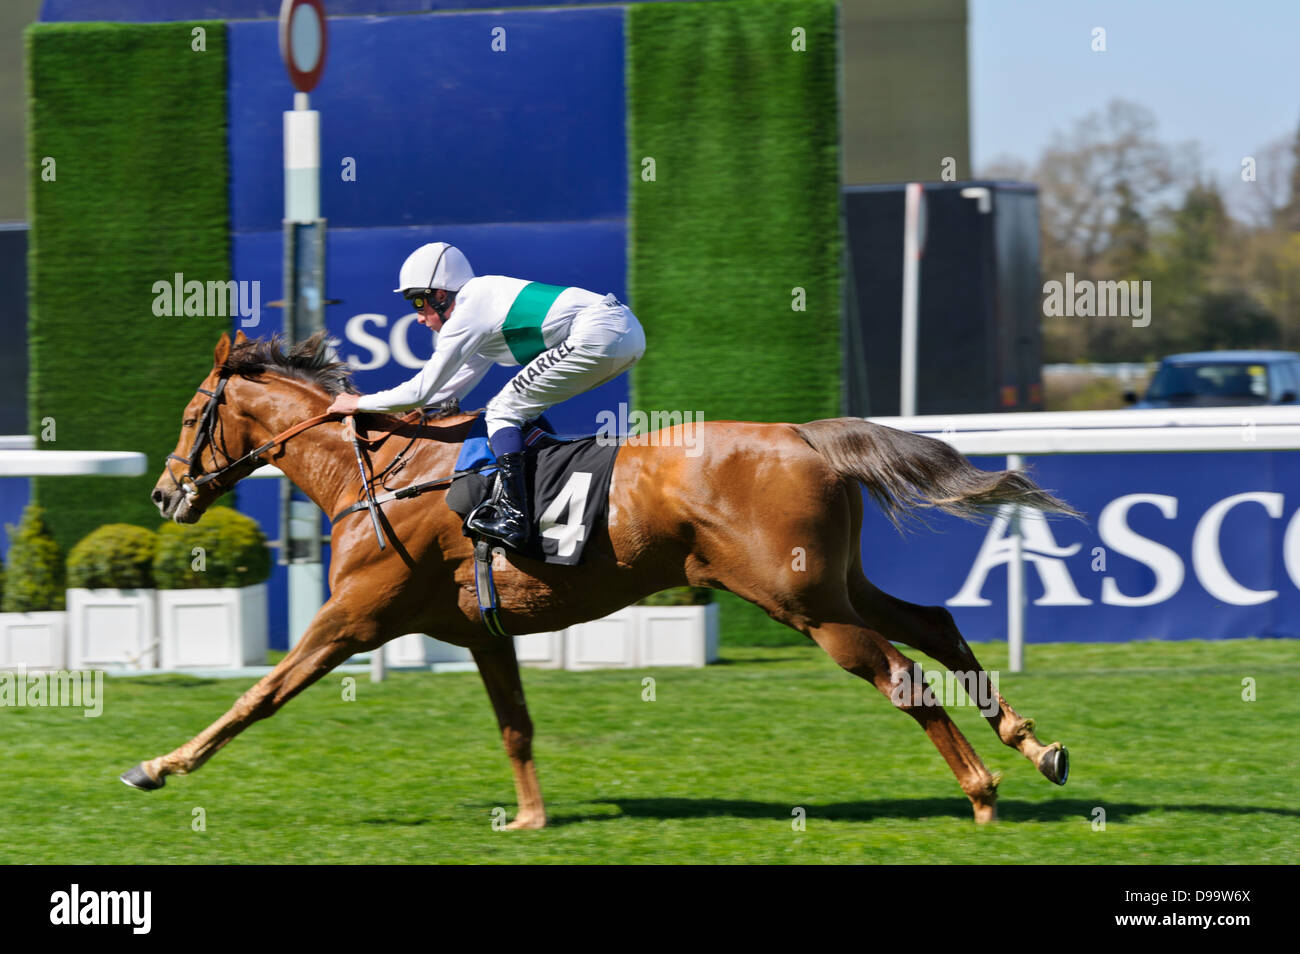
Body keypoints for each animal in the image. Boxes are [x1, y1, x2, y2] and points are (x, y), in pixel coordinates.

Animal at [122, 330, 1075, 826]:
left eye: (191, 415)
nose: (165, 492)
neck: (382, 475)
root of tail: (806, 435)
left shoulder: (352, 619)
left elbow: (258, 695)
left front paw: (160, 766)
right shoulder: (478, 633)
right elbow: (515, 726)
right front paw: (532, 818)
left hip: (804, 602)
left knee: (904, 675)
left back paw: (983, 794)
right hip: (835, 584)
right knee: (935, 622)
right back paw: (1035, 746)